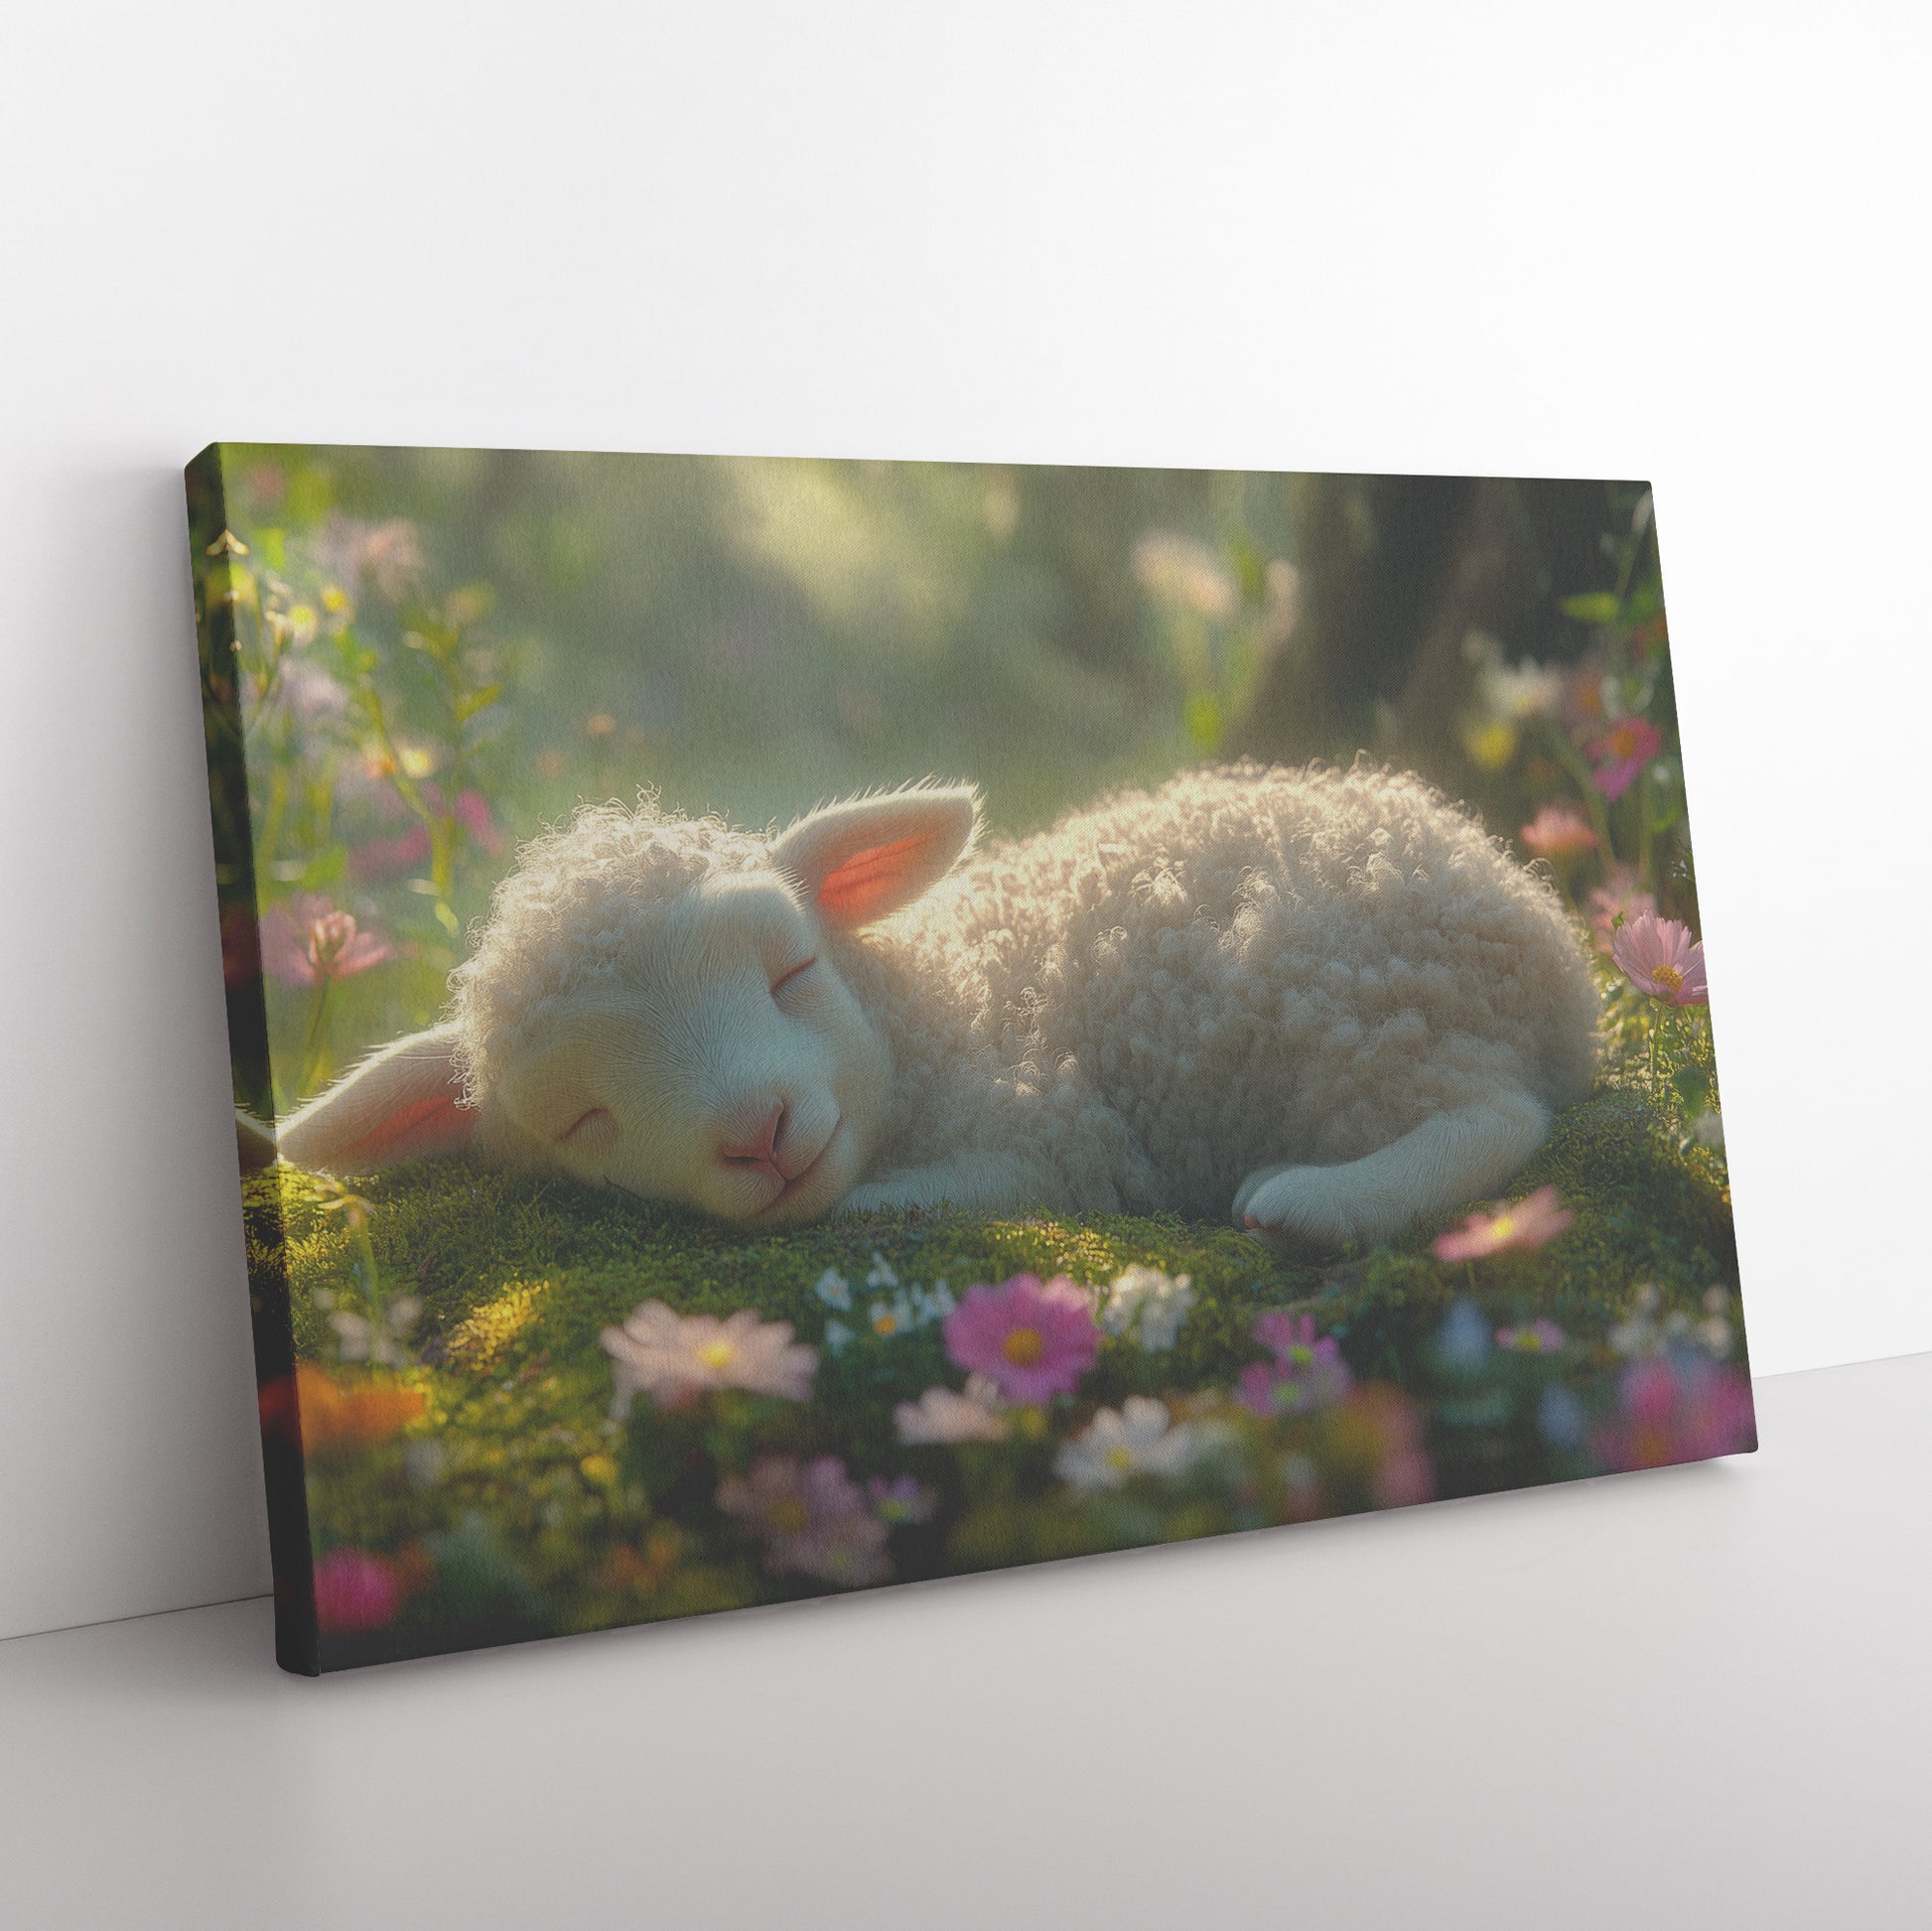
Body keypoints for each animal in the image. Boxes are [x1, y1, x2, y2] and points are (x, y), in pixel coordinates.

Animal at [274, 762, 1602, 1252]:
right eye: (581, 1119)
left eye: (789, 972)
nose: (760, 1132)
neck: (934, 995)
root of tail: (1540, 940)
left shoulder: (1049, 1132)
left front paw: (872, 1198)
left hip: (1359, 1008)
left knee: (1493, 1118)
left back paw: (1312, 1199)